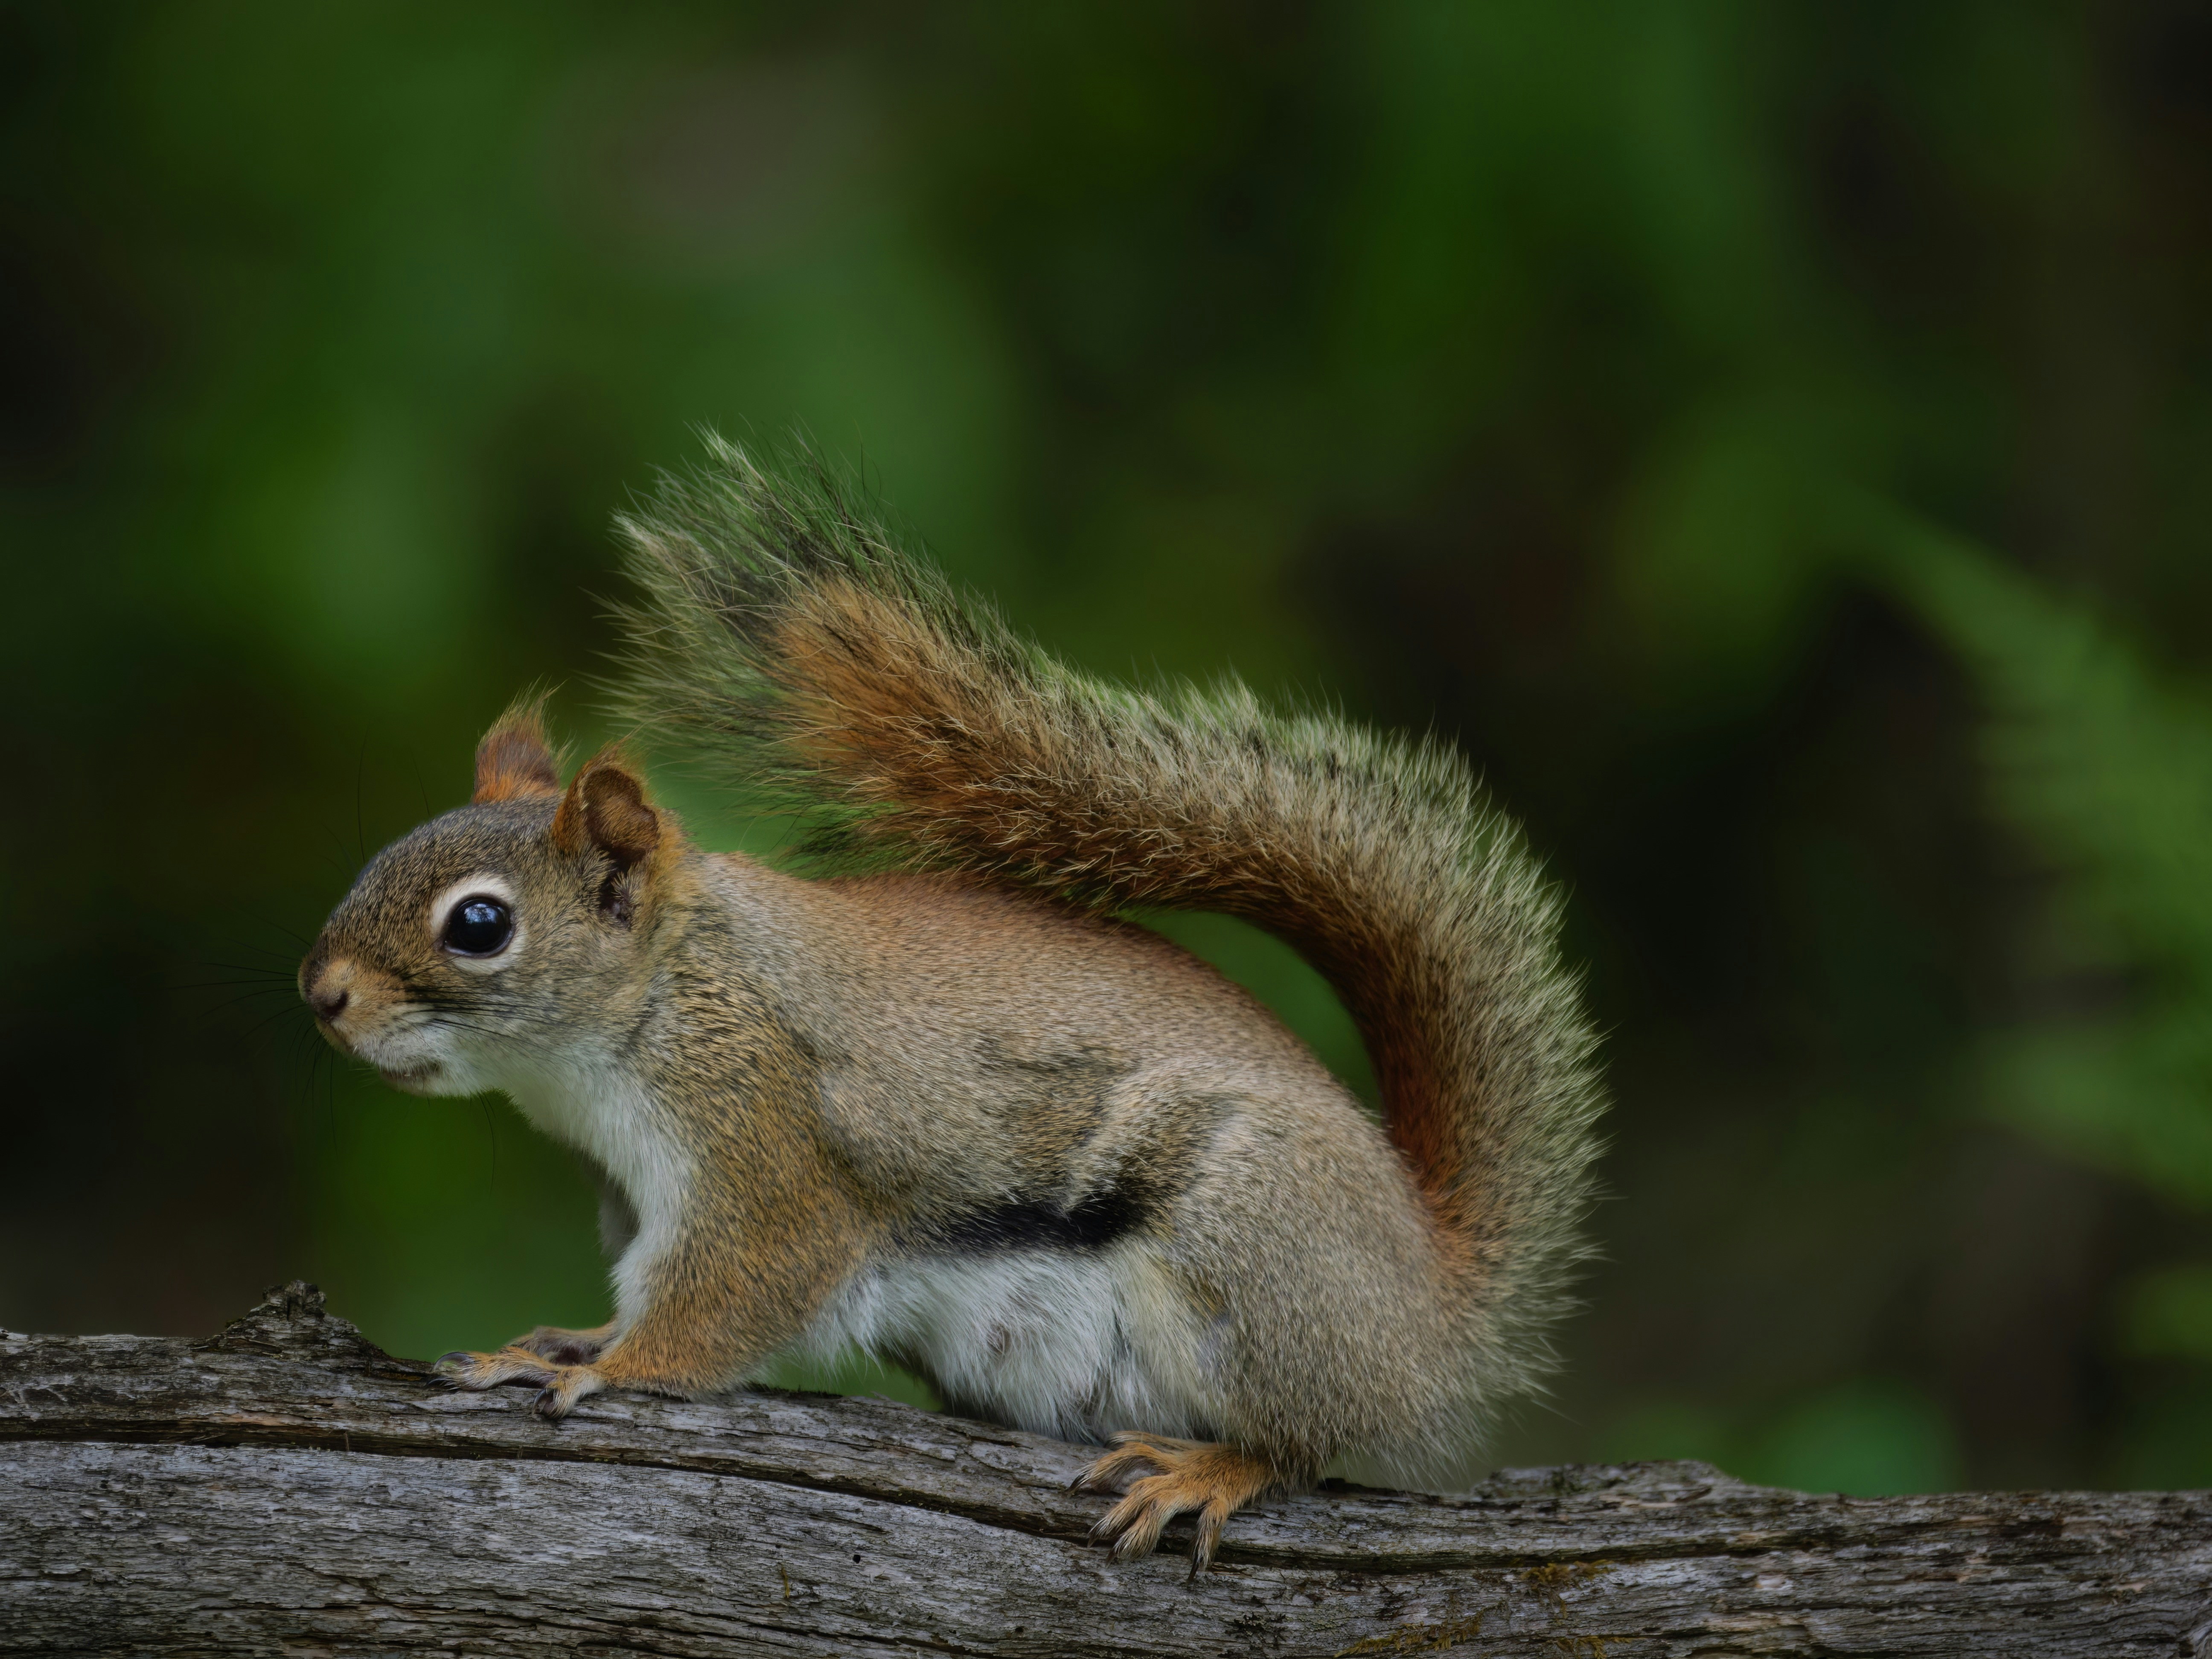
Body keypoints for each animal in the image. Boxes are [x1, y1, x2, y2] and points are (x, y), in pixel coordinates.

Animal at [299, 437, 1604, 1574]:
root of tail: (1429, 1310)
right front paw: (575, 1339)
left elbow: (730, 1292)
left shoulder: (763, 1136)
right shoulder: (636, 1194)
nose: (321, 996)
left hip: (1250, 1252)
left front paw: (603, 1372)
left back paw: (1209, 1469)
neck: (662, 998)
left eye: (479, 925)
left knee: (1303, 1437)